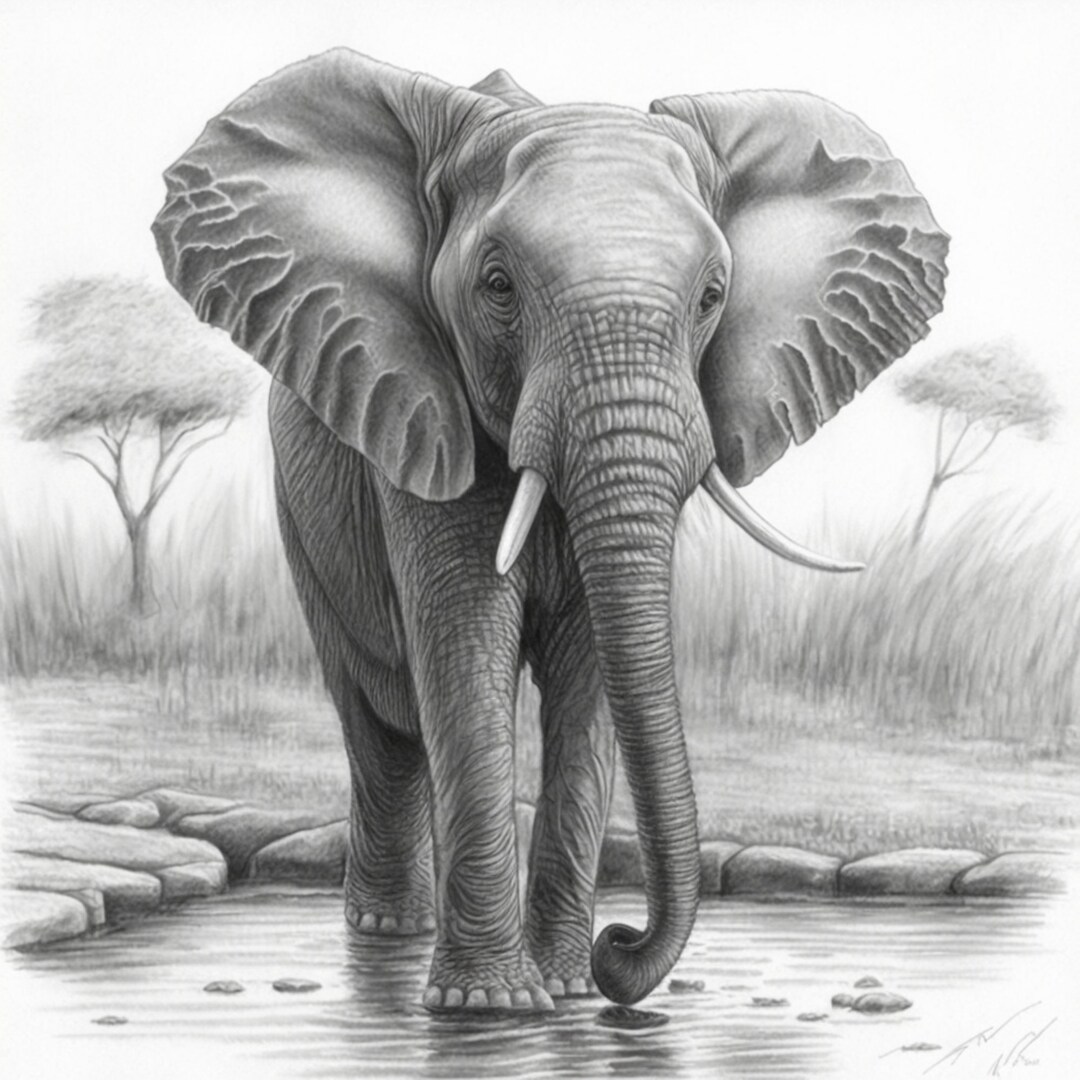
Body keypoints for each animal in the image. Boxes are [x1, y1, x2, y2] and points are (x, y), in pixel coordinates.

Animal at [152, 49, 947, 1013]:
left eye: (714, 295)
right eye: (496, 287)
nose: (621, 944)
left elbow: (591, 668)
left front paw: (566, 988)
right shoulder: (422, 408)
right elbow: (465, 644)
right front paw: (491, 1006)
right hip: (303, 510)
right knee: (378, 712)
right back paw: (387, 931)